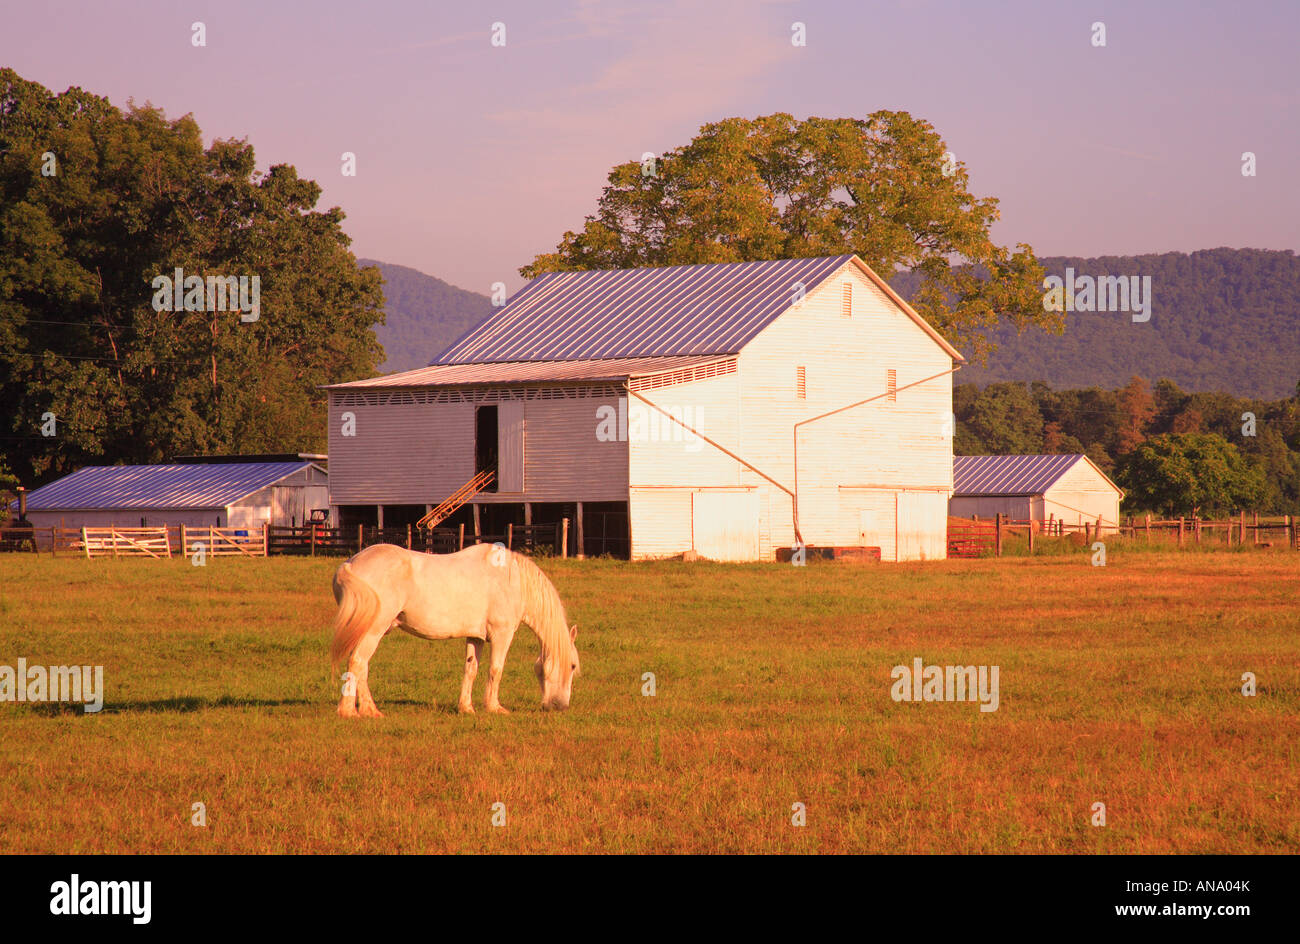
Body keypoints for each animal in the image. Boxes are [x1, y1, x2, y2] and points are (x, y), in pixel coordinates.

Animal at [329, 542, 579, 718]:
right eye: (573, 666)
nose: (560, 706)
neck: (511, 579)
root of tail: (349, 564)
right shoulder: (502, 634)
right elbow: (496, 670)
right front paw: (494, 707)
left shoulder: (476, 637)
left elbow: (471, 669)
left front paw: (466, 707)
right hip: (373, 630)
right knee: (358, 662)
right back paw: (354, 711)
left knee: (361, 666)